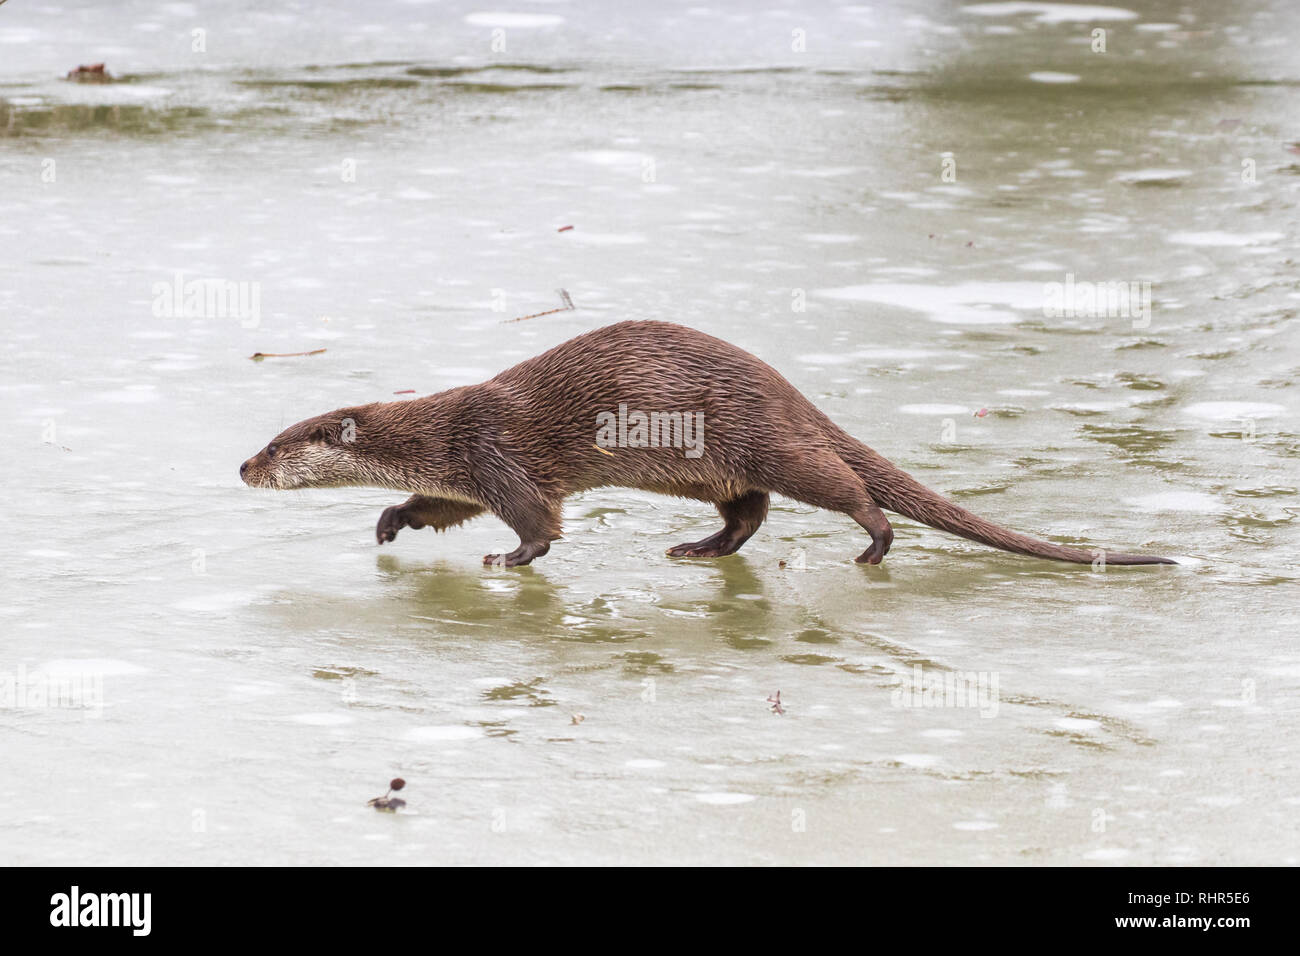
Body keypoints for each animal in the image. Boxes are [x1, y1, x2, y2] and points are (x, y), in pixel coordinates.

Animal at [240, 320, 1175, 568]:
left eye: (277, 445)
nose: (242, 465)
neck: (437, 432)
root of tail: (785, 388)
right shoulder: (462, 476)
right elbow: (434, 506)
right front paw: (390, 522)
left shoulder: (497, 458)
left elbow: (539, 524)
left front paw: (510, 560)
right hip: (719, 466)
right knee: (749, 513)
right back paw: (698, 550)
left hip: (763, 440)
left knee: (840, 490)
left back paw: (873, 546)